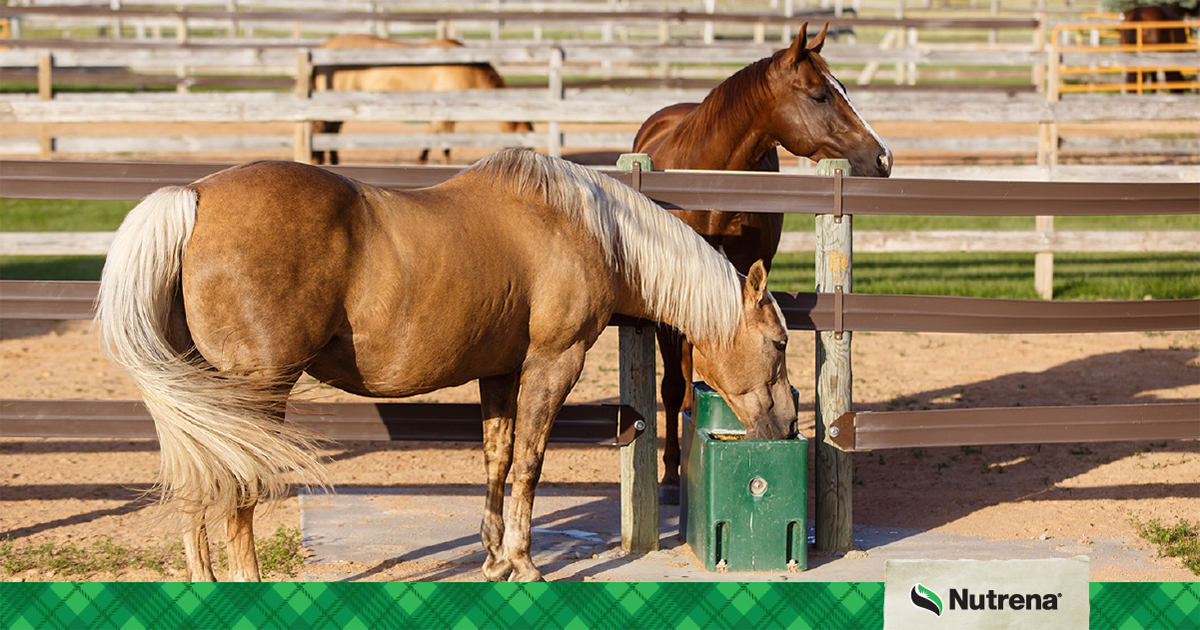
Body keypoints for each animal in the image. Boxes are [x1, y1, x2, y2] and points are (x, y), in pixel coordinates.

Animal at [95, 148, 798, 582]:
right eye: (779, 345)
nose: (788, 424)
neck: (587, 227)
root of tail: (192, 195)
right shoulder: (554, 363)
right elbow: (530, 463)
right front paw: (524, 563)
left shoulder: (500, 372)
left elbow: (497, 459)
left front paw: (492, 559)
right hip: (254, 396)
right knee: (236, 488)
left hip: (201, 397)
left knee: (197, 482)